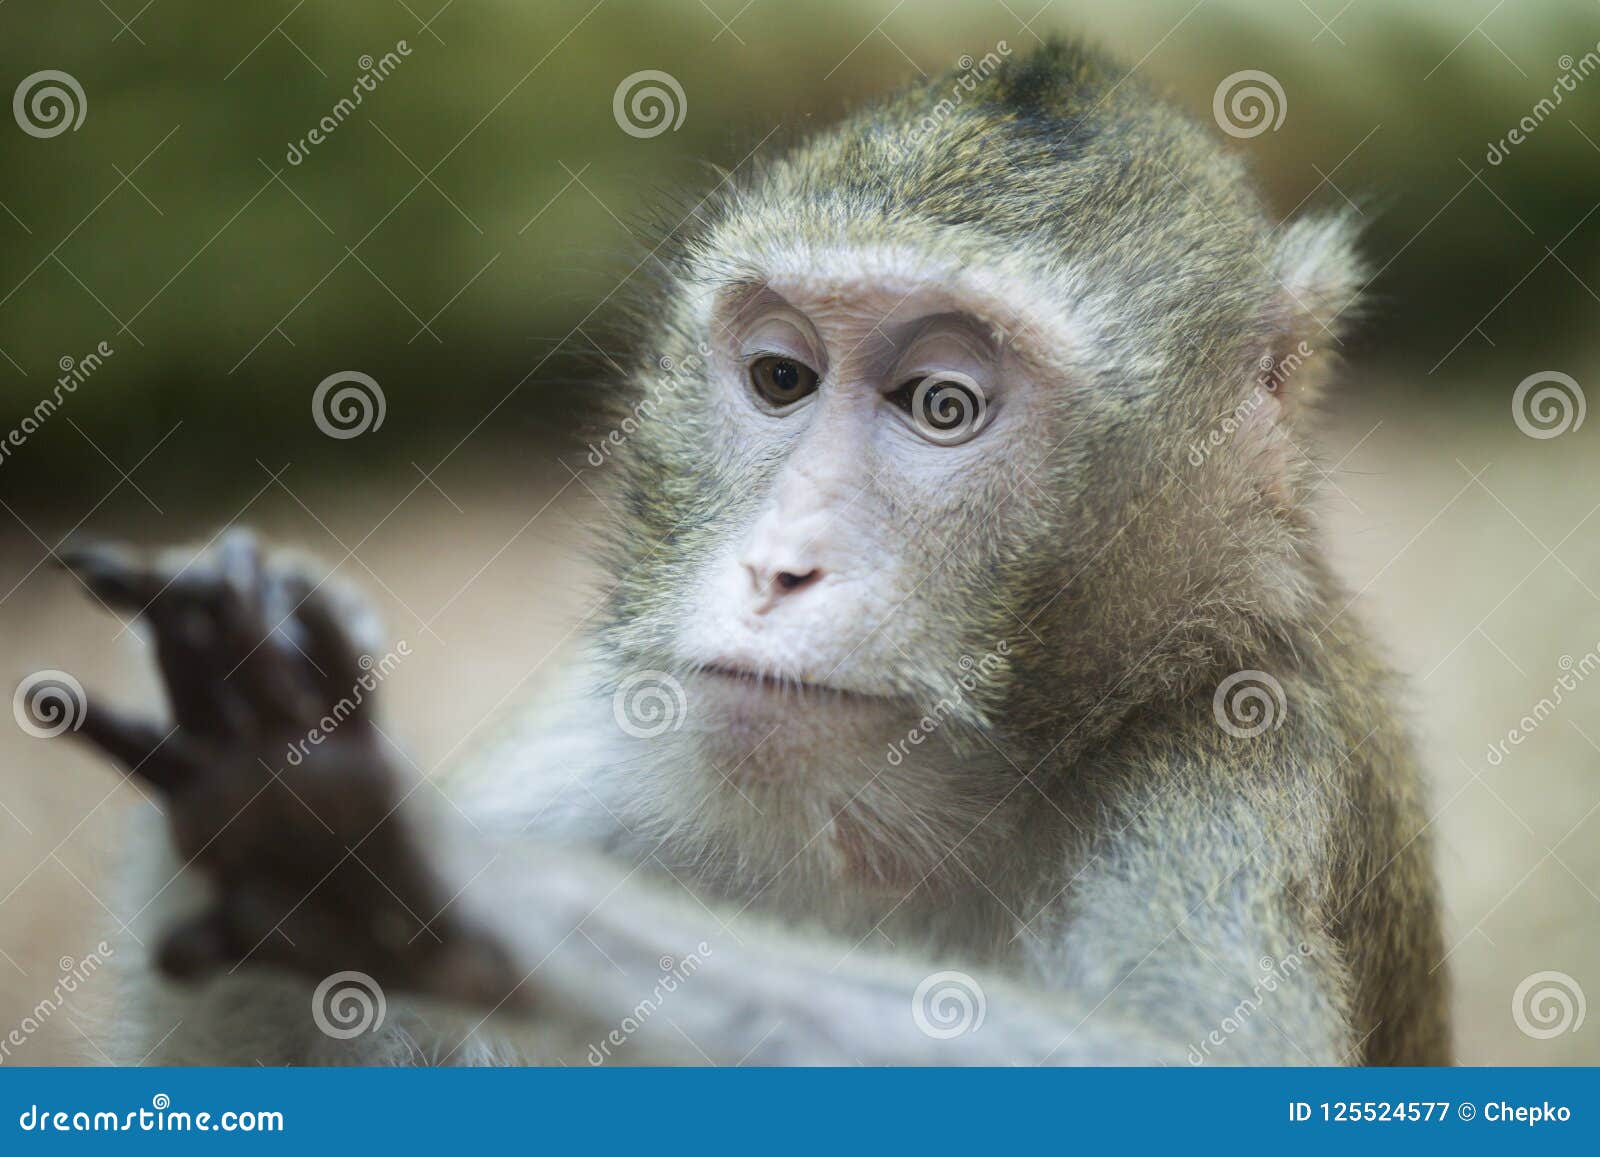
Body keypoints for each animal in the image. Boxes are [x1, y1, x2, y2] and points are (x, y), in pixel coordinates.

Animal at [56, 37, 1449, 1066]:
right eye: (781, 377)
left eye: (942, 405)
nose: (778, 568)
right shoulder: (605, 735)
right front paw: (262, 745)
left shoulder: (1245, 737)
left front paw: (460, 883)